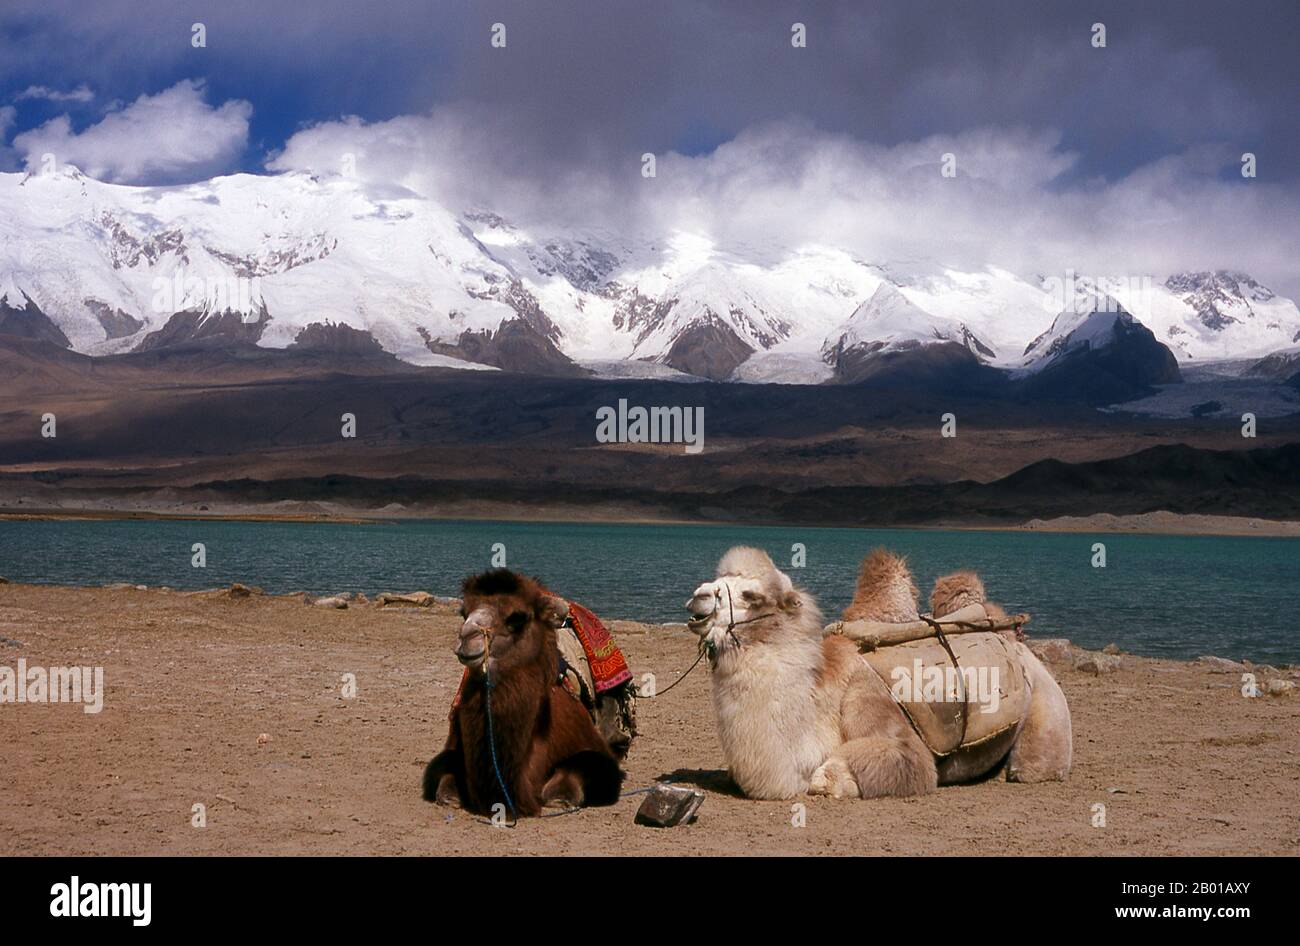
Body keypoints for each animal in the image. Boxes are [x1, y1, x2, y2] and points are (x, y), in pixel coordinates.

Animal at [422, 569, 624, 816]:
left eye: (517, 618)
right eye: (464, 613)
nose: (467, 637)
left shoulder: (593, 748)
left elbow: (587, 767)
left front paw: (561, 798)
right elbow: (442, 771)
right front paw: (450, 795)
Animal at [685, 547, 1072, 800]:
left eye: (751, 595)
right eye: (716, 581)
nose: (697, 597)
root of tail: (1016, 639)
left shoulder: (871, 702)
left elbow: (846, 772)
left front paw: (835, 779)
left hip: (1045, 707)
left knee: (1033, 766)